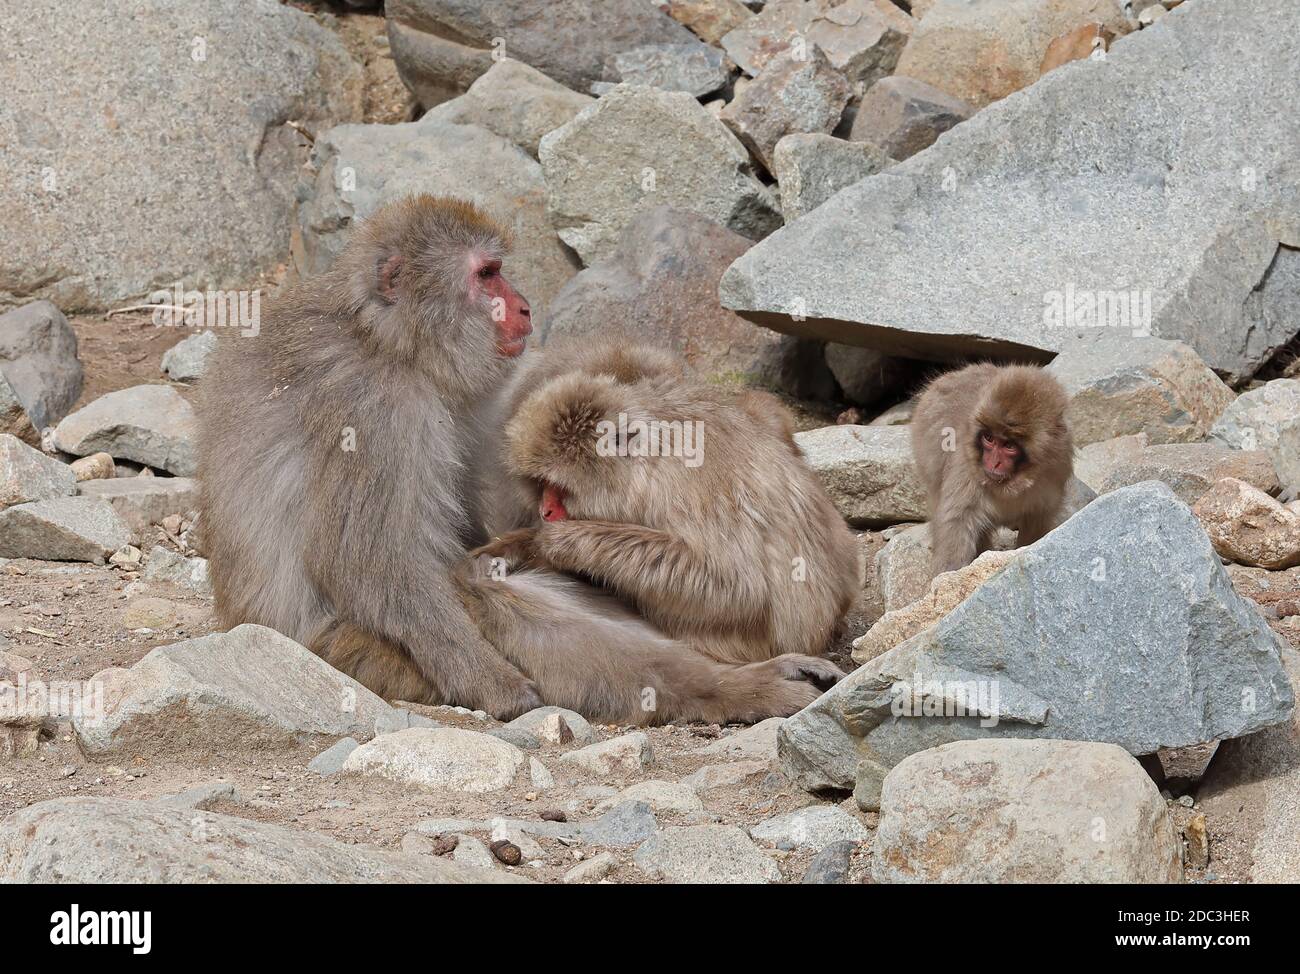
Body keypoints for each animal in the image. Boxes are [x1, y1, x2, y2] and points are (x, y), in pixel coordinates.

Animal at [196, 194, 546, 720]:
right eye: (487, 275)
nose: (525, 307)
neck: (386, 340)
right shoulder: (376, 411)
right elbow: (368, 566)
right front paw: (496, 684)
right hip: (345, 650)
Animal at [911, 363, 1073, 575]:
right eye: (989, 438)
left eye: (1009, 445)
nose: (993, 462)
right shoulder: (966, 469)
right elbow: (957, 523)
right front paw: (947, 574)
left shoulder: (1054, 471)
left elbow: (1038, 521)